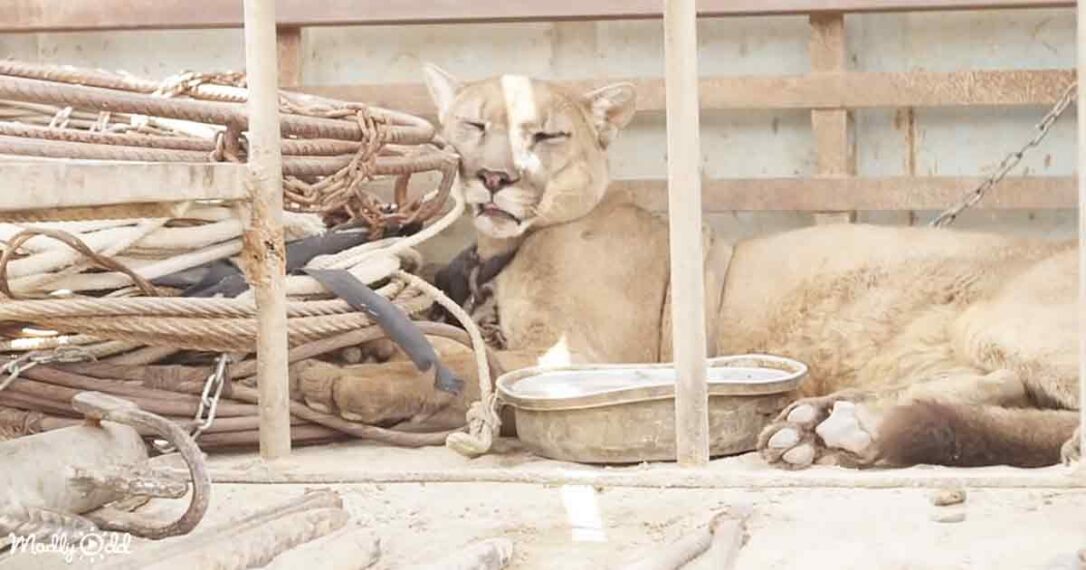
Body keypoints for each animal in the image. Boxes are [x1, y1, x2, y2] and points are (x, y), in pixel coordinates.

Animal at [313, 64, 1080, 470]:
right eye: (475, 125)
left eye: (546, 134)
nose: (496, 177)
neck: (514, 249)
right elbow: (454, 345)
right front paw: (356, 351)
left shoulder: (579, 353)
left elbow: (461, 361)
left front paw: (342, 381)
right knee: (1004, 388)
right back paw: (826, 422)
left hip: (1000, 320)